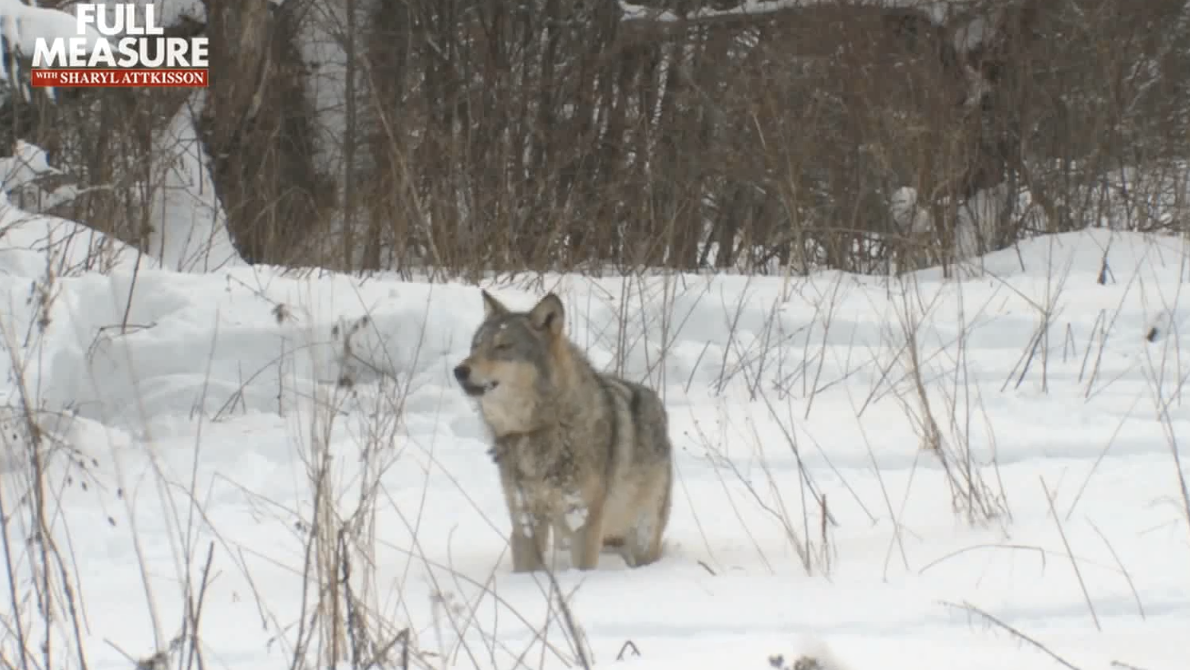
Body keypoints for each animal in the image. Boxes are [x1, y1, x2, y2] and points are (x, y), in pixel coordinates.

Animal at [453, 290, 674, 572]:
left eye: (503, 347)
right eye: (475, 346)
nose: (459, 371)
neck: (538, 429)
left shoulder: (582, 521)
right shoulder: (525, 519)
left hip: (641, 534)